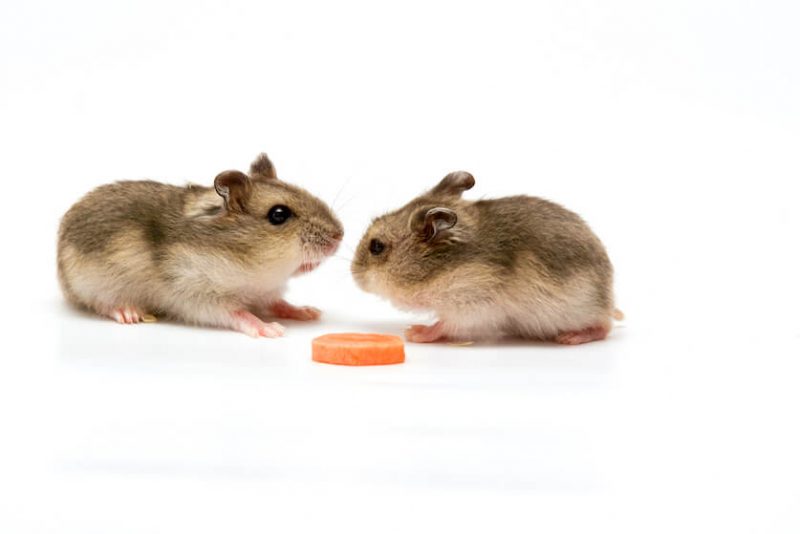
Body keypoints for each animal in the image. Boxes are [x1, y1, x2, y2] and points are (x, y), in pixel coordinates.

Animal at [58, 152, 343, 337]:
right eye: (278, 214)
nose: (340, 236)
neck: (251, 266)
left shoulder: (264, 291)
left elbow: (278, 303)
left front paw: (310, 312)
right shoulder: (197, 295)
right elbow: (238, 314)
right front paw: (271, 329)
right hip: (91, 285)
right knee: (99, 303)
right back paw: (129, 313)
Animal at [351, 171, 620, 344]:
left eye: (376, 247)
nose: (354, 275)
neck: (441, 269)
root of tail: (608, 298)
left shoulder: (471, 304)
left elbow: (445, 324)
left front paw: (413, 333)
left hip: (580, 309)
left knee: (605, 325)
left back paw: (571, 337)